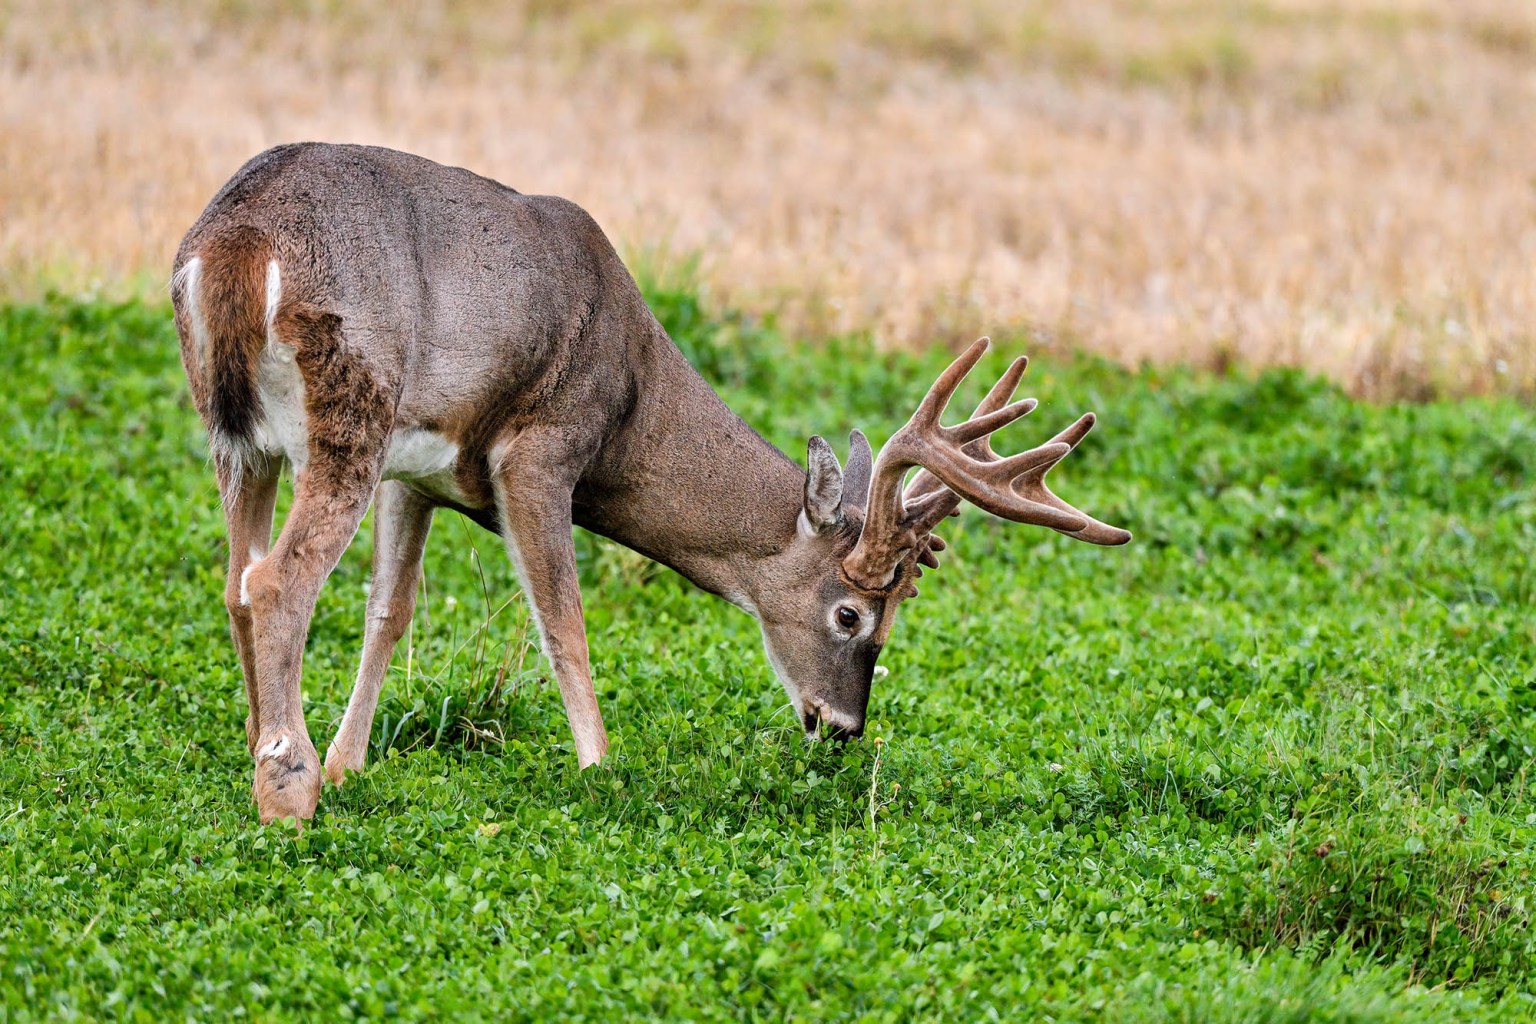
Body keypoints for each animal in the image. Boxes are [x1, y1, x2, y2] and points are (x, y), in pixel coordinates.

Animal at [170, 143, 1131, 825]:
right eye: (852, 615)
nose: (841, 727)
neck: (631, 400)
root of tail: (236, 244)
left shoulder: (422, 467)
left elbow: (388, 612)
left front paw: (350, 763)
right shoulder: (540, 449)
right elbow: (563, 622)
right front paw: (601, 769)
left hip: (243, 436)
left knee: (235, 578)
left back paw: (264, 749)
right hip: (350, 409)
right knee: (277, 579)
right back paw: (286, 792)